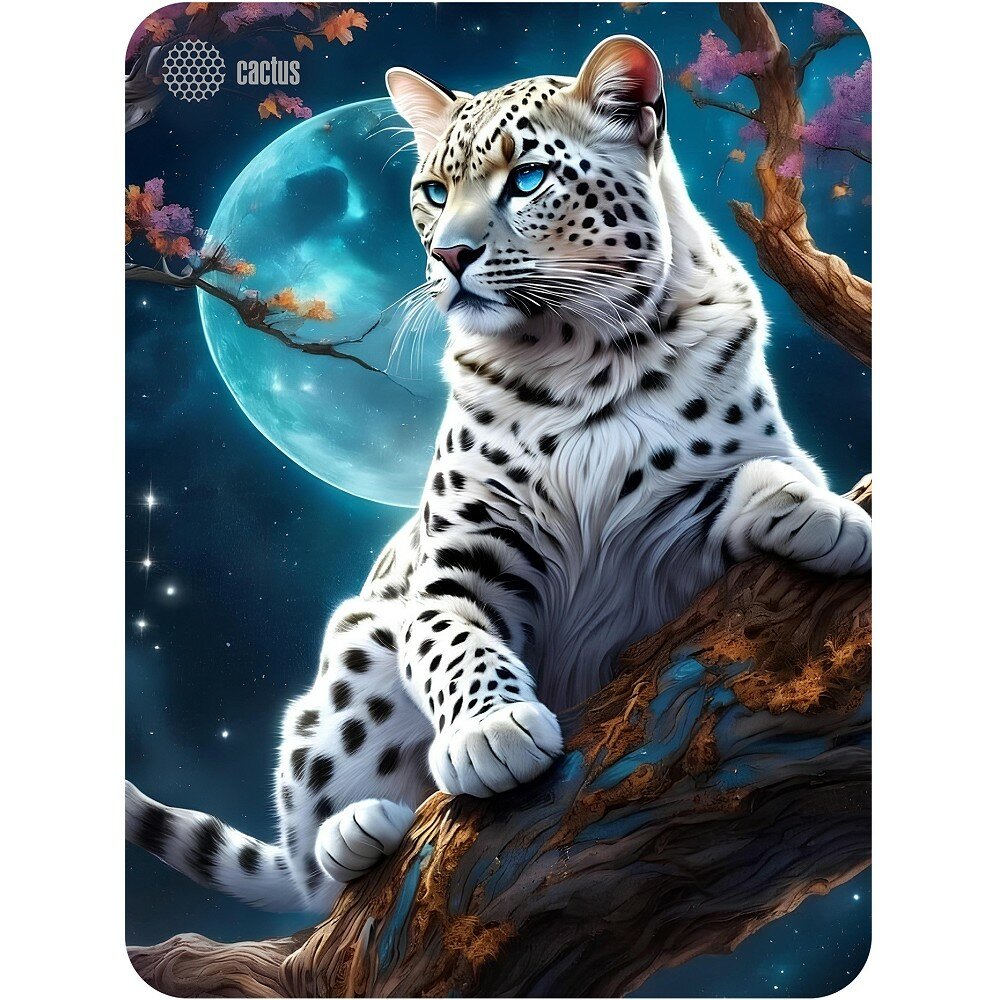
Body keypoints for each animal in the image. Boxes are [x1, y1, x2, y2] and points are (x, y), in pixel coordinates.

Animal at [126, 36, 872, 913]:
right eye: (433, 192)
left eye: (527, 178)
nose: (449, 254)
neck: (584, 356)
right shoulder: (457, 567)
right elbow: (454, 644)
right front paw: (492, 731)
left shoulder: (679, 562)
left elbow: (760, 474)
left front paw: (820, 512)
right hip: (356, 650)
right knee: (312, 859)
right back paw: (357, 833)